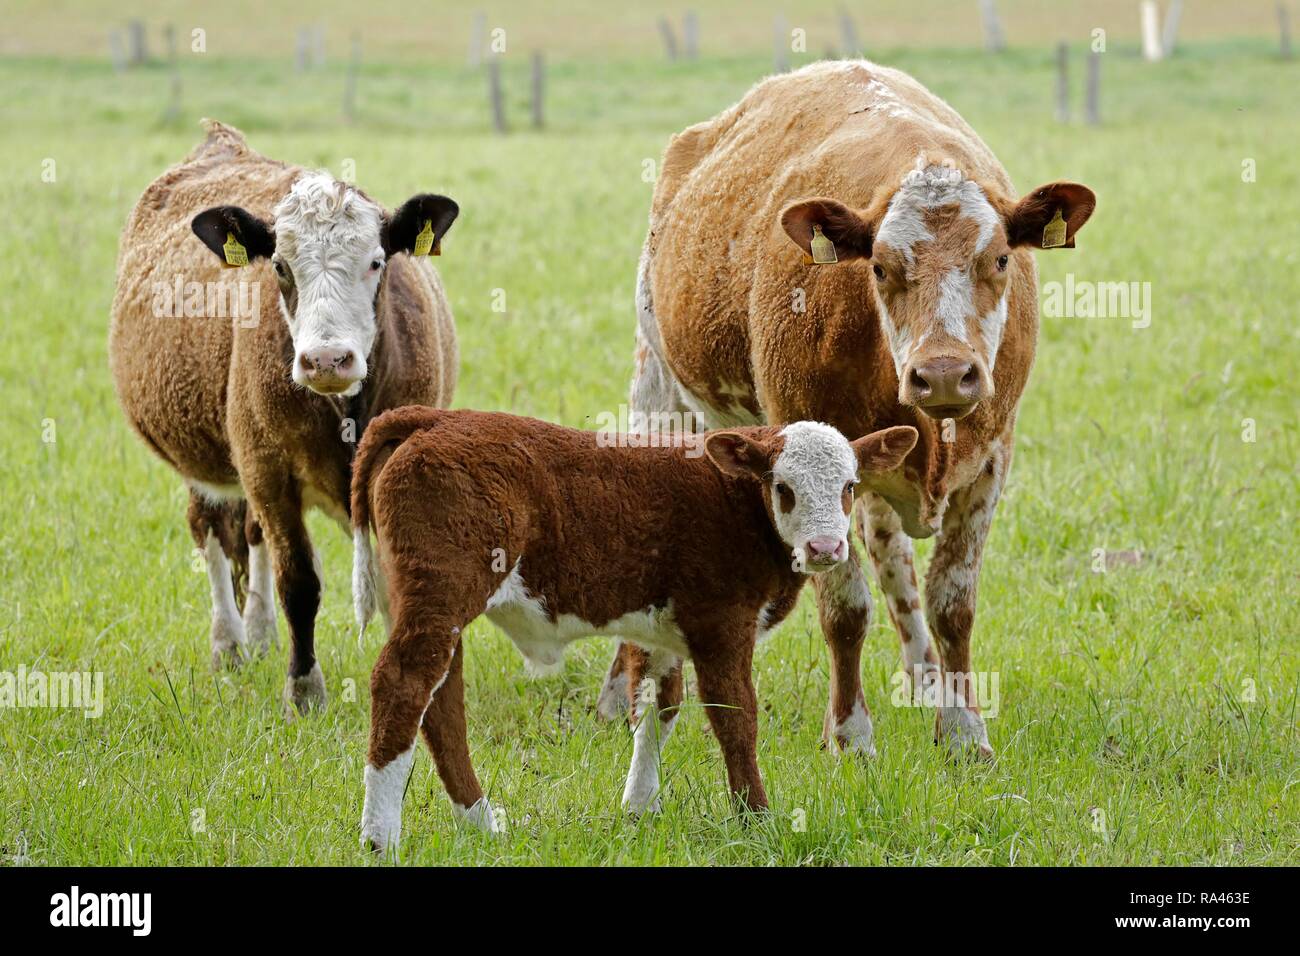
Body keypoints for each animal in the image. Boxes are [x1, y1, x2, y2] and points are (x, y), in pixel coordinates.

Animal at [109, 119, 461, 714]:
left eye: (376, 261)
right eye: (279, 266)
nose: (326, 359)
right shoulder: (268, 471)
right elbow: (299, 582)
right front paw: (304, 688)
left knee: (251, 536)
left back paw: (258, 634)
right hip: (211, 467)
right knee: (212, 532)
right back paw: (229, 643)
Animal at [349, 406, 917, 849]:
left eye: (849, 486)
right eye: (783, 487)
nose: (826, 548)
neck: (734, 500)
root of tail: (434, 418)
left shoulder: (662, 632)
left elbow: (655, 708)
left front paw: (640, 807)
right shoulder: (722, 624)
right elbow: (736, 716)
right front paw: (756, 818)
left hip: (427, 604)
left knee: (442, 704)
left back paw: (481, 822)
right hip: (442, 595)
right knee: (404, 685)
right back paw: (380, 837)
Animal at [596, 60, 1096, 759]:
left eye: (999, 258)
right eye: (880, 267)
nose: (944, 373)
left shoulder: (993, 458)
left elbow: (951, 601)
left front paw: (963, 729)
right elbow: (845, 606)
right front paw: (851, 736)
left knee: (893, 557)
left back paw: (924, 678)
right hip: (658, 389)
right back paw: (623, 693)